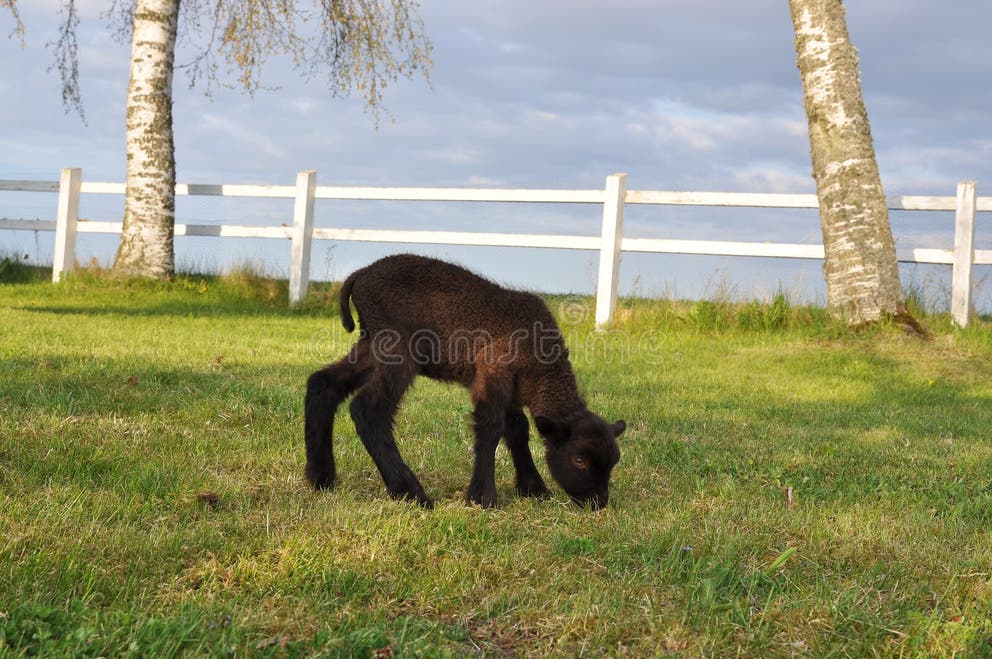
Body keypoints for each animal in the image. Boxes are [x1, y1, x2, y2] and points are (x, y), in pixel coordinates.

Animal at [304, 254, 625, 509]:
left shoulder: (509, 386)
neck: (543, 372)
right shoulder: (493, 371)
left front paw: (533, 488)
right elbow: (491, 428)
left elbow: (517, 430)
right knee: (367, 410)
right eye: (579, 460)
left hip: (372, 343)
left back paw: (321, 477)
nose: (598, 503)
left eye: (614, 461)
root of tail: (360, 275)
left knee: (323, 384)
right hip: (396, 347)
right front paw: (483, 498)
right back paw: (412, 493)